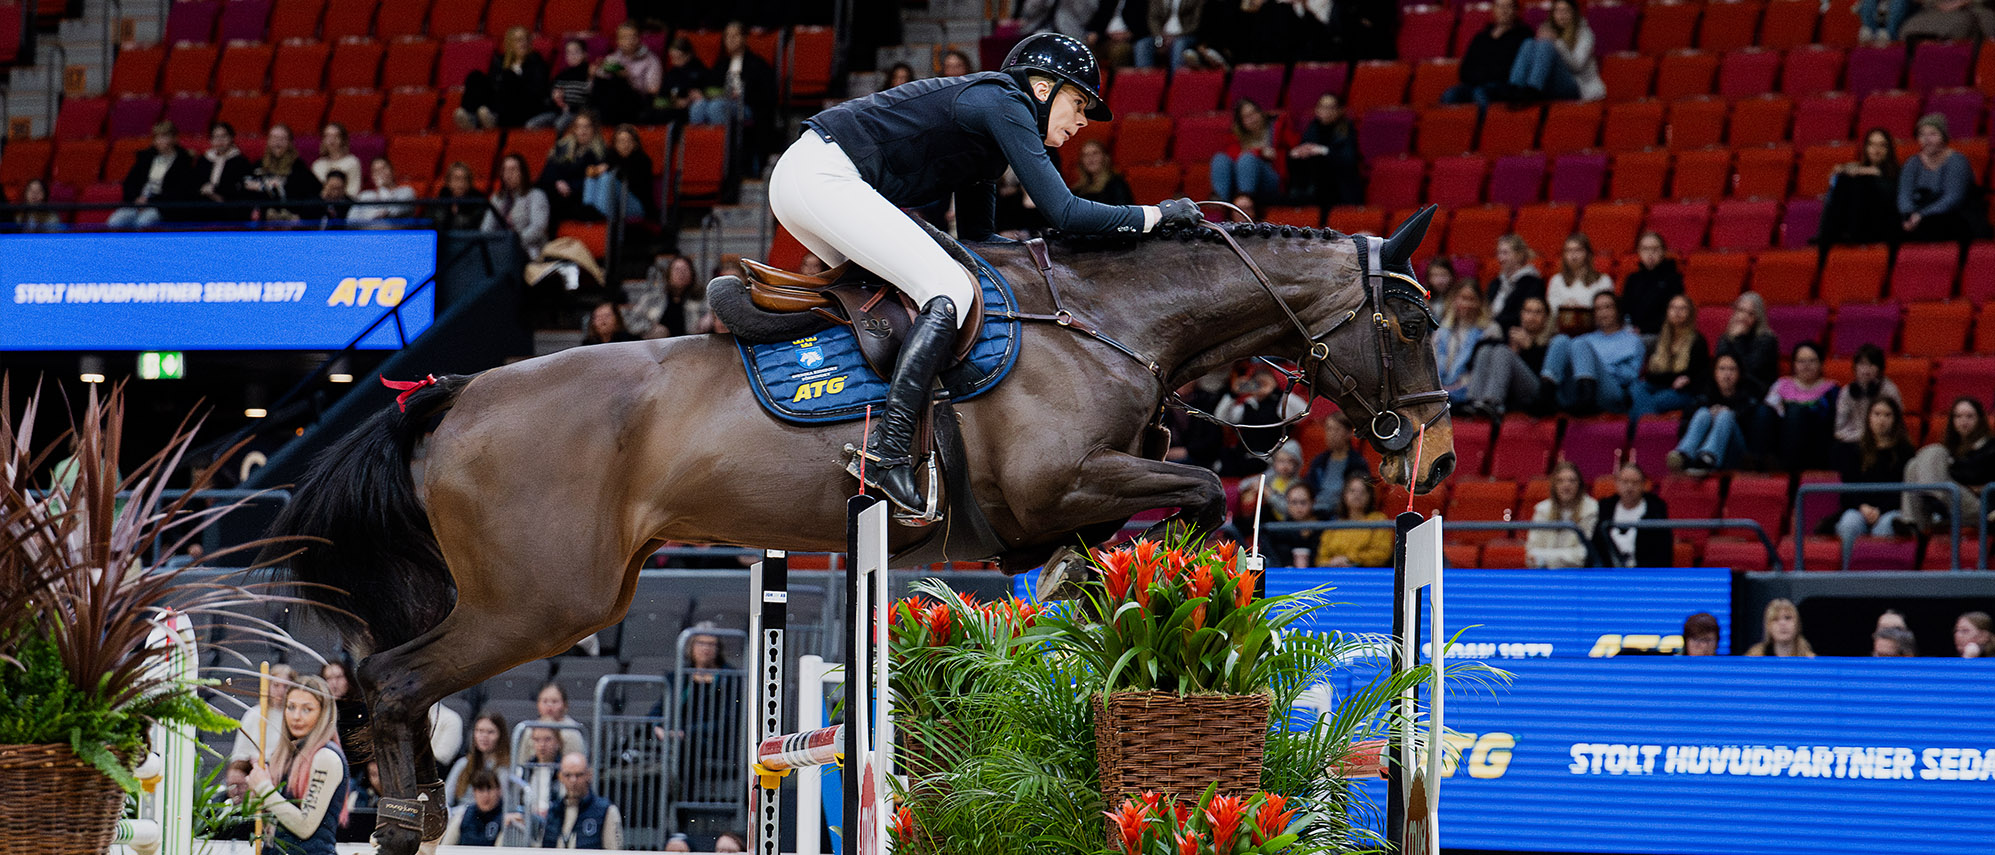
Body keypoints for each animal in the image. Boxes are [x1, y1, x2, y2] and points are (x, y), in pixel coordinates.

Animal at [272, 210, 1455, 853]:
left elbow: (1137, 528)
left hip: (554, 596)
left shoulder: (1060, 505)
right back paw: (399, 818)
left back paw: (409, 809)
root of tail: (450, 394)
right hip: (544, 599)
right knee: (387, 678)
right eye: (1406, 320)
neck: (1110, 324)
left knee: (386, 681)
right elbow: (1199, 490)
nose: (1437, 463)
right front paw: (1166, 593)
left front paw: (1112, 606)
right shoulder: (1060, 483)